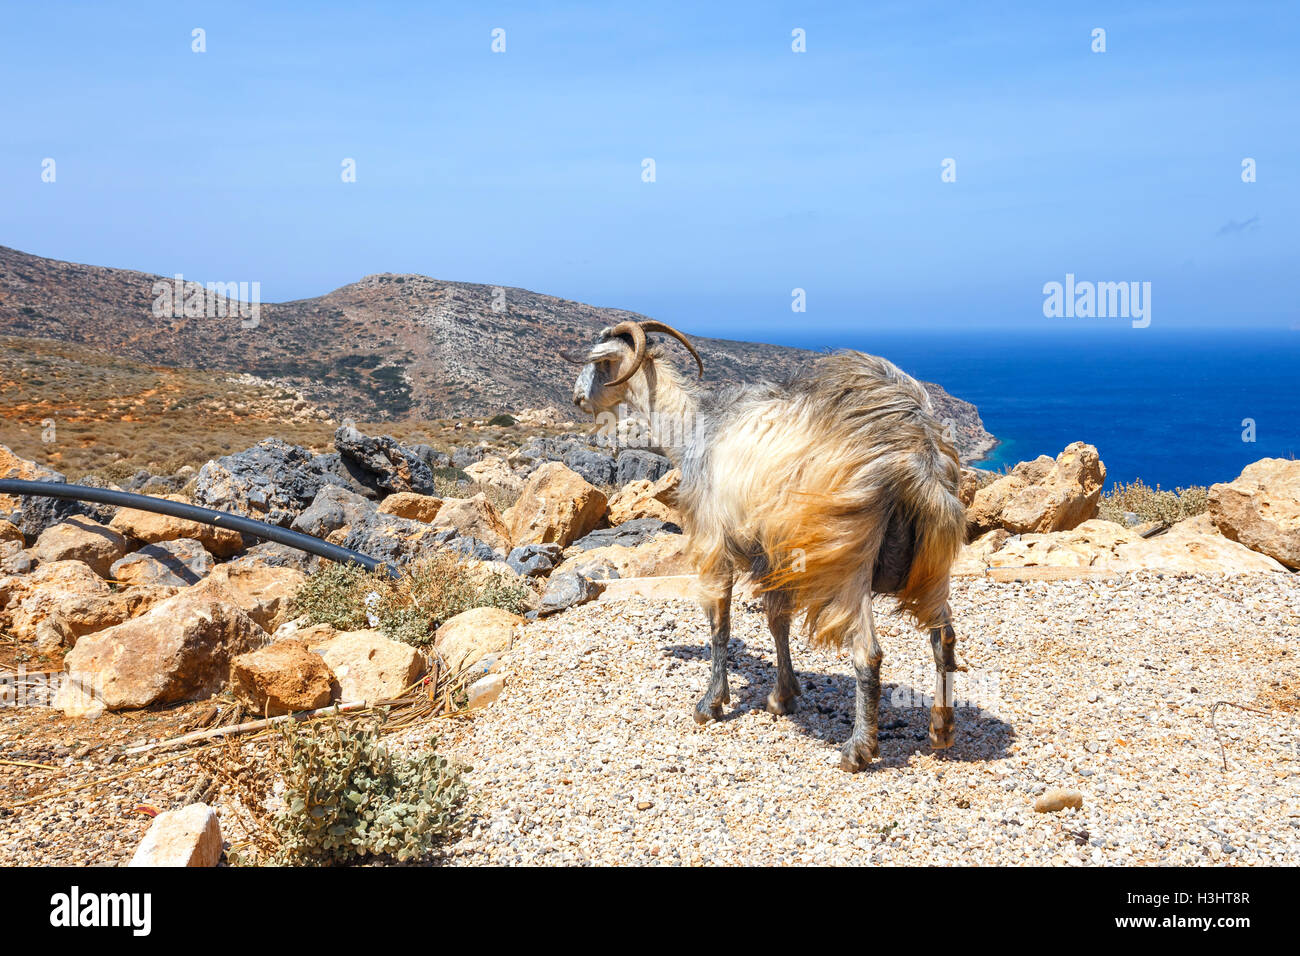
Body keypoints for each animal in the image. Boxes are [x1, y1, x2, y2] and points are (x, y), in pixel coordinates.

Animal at [569, 320, 967, 771]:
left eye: (599, 363)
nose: (578, 398)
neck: (695, 427)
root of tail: (916, 453)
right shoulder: (774, 557)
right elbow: (778, 622)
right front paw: (783, 696)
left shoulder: (716, 543)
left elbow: (720, 625)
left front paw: (711, 704)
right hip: (933, 563)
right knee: (943, 637)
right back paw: (941, 729)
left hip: (848, 561)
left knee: (869, 653)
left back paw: (858, 749)